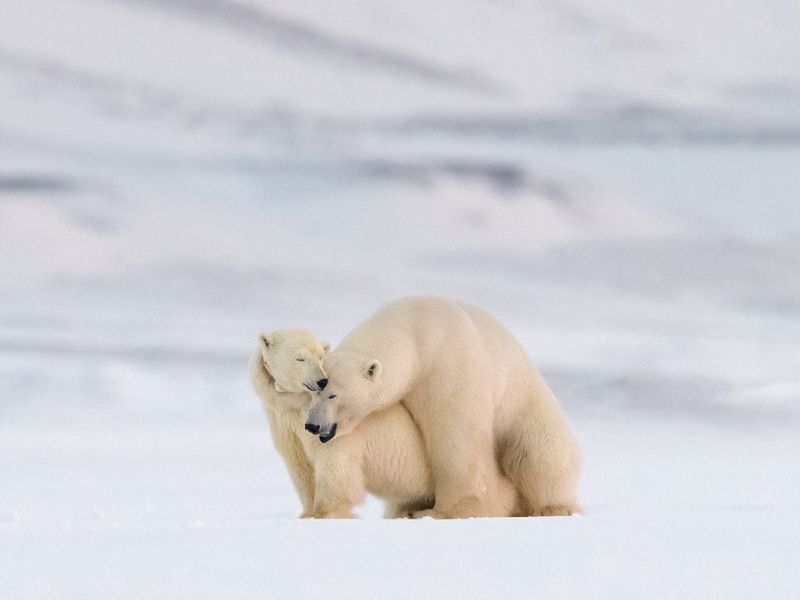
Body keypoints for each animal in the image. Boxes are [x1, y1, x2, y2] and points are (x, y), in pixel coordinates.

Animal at [248, 328, 525, 518]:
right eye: (299, 358)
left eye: (320, 357)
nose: (321, 380)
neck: (297, 405)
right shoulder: (284, 421)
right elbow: (300, 466)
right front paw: (306, 513)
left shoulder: (336, 427)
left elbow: (334, 464)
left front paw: (324, 513)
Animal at [304, 296, 581, 518]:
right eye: (312, 390)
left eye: (333, 395)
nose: (312, 425)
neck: (416, 329)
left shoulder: (448, 364)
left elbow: (457, 437)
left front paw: (445, 511)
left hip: (527, 407)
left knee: (538, 454)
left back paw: (553, 507)